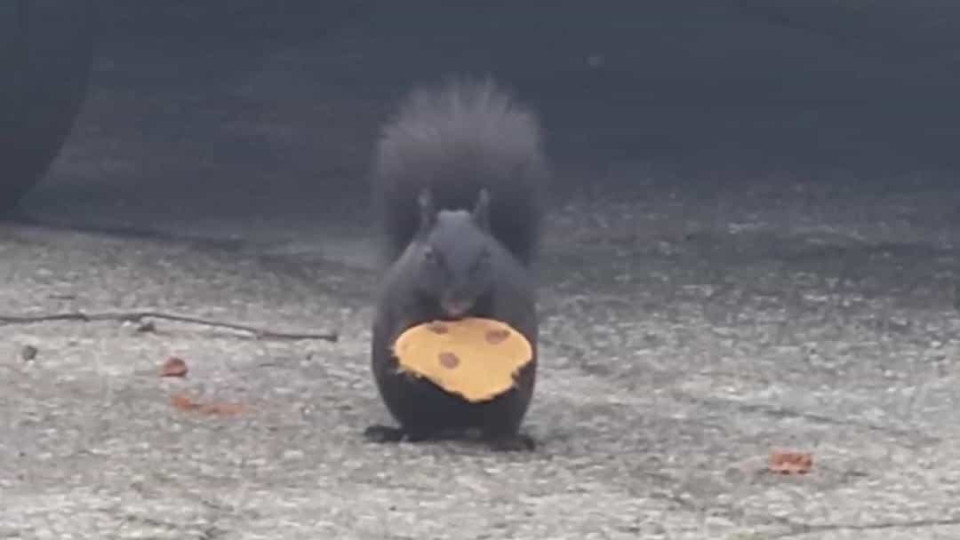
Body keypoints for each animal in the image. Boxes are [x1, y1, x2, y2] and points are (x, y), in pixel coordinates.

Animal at [364, 78, 548, 449]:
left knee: (498, 424)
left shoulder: (506, 296)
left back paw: (508, 440)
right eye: (429, 256)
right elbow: (404, 324)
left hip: (512, 400)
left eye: (486, 256)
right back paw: (397, 432)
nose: (457, 300)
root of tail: (458, 424)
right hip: (402, 397)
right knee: (419, 425)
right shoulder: (403, 296)